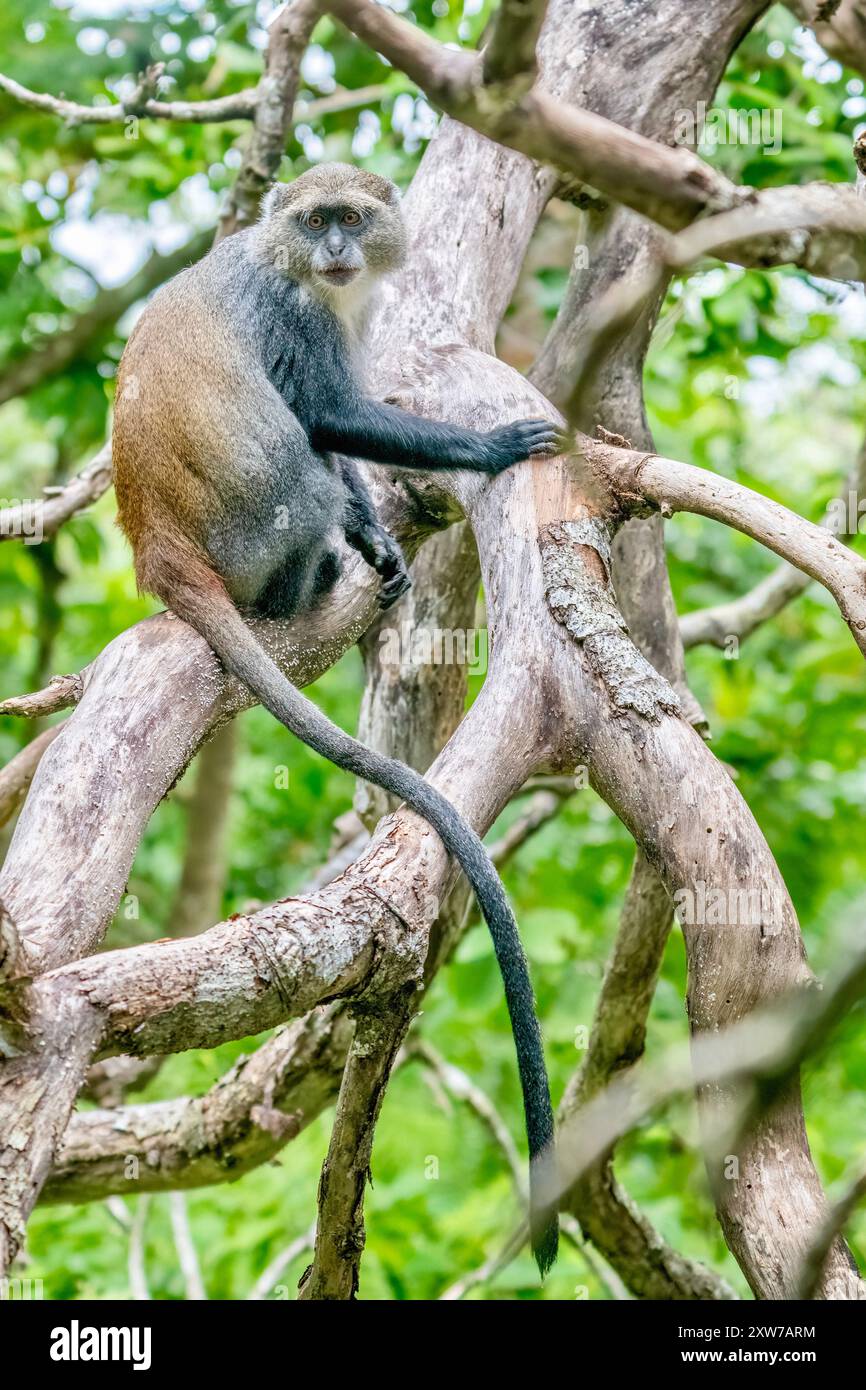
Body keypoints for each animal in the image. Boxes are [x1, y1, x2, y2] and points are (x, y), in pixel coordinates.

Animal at [112, 163, 560, 1275]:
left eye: (349, 218)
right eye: (315, 221)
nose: (336, 252)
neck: (296, 268)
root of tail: (161, 554)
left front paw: (380, 539)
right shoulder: (297, 317)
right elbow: (326, 414)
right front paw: (489, 447)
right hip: (253, 524)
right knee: (297, 453)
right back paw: (312, 575)